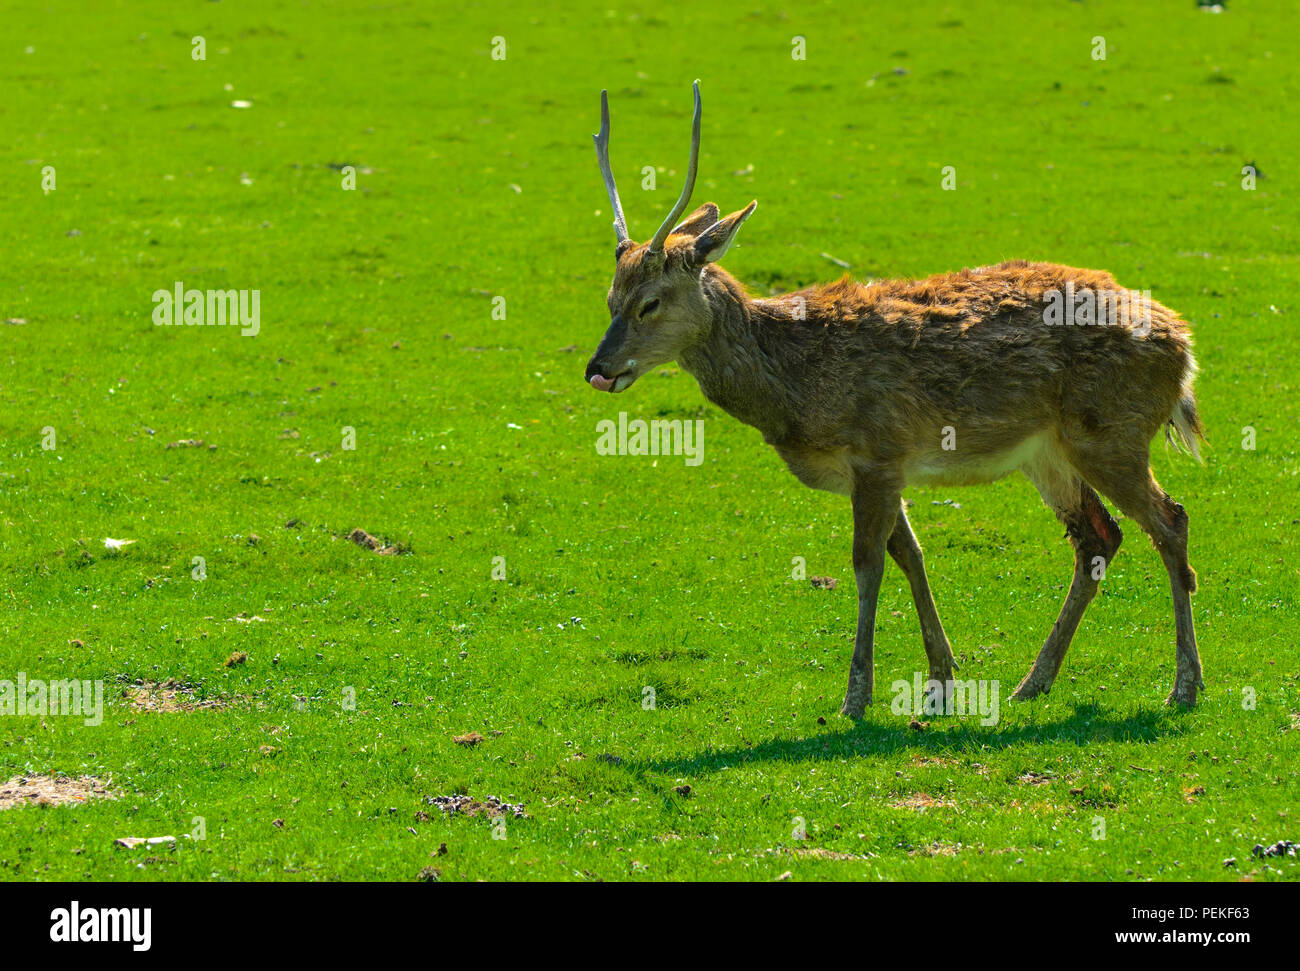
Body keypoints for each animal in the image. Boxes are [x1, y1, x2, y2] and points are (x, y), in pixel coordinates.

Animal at [584, 82, 1207, 719]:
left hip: (1111, 432)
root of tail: (1184, 350)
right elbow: (911, 555)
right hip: (1048, 453)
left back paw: (1184, 685)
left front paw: (856, 696)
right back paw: (1034, 681)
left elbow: (868, 563)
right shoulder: (888, 466)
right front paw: (941, 677)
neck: (797, 392)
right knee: (1098, 538)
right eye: (609, 298)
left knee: (1171, 520)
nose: (599, 369)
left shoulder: (877, 451)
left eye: (651, 303)